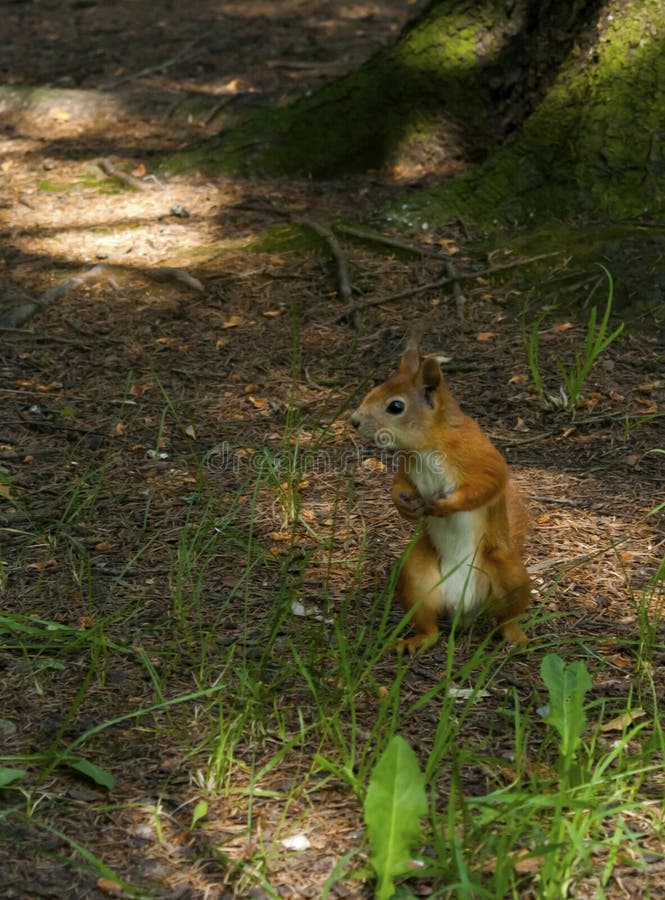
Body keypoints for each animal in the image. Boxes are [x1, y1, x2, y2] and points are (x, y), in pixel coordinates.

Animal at [350, 339, 531, 653]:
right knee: (428, 625)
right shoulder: (408, 467)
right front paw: (402, 503)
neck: (427, 446)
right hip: (415, 577)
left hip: (509, 575)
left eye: (396, 406)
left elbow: (489, 482)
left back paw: (515, 635)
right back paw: (417, 639)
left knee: (506, 618)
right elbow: (400, 483)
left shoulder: (478, 455)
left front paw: (445, 505)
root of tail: (463, 607)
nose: (354, 421)